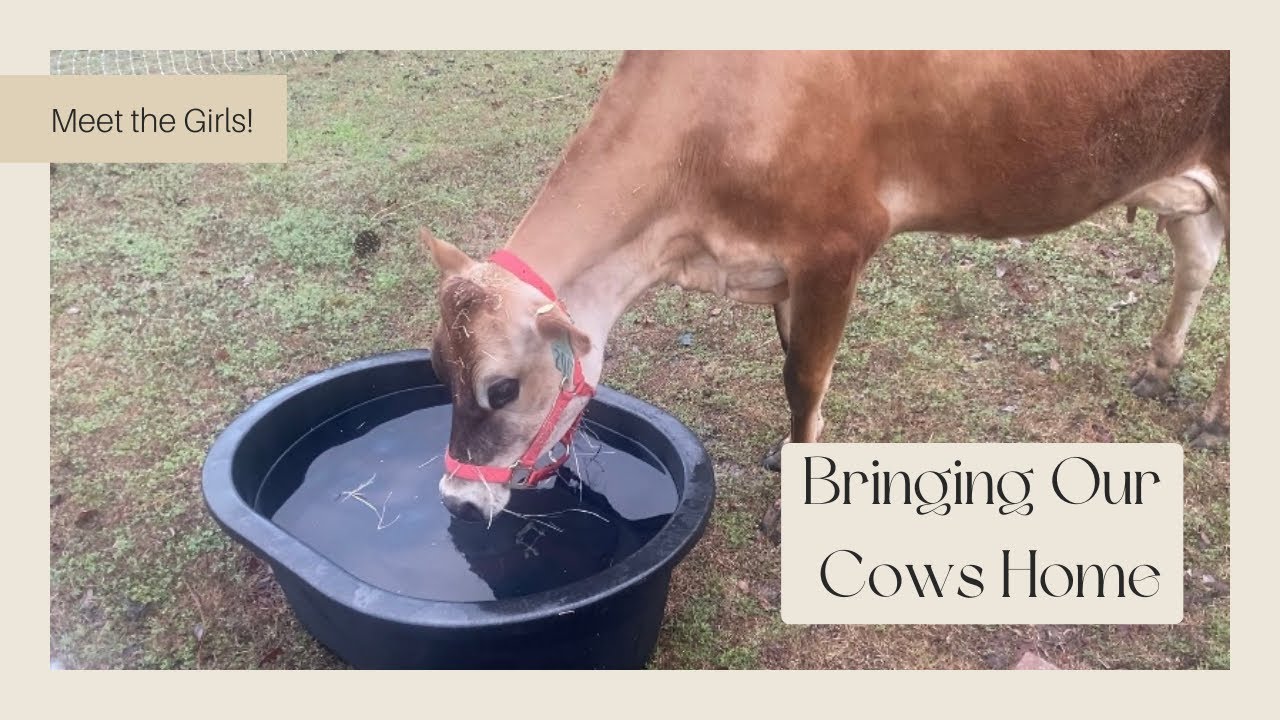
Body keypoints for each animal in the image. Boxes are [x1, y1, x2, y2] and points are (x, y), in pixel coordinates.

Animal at [420, 51, 1229, 535]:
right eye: (436, 368)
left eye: (500, 388)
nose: (455, 499)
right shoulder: (780, 267)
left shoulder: (836, 248)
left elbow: (803, 377)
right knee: (1197, 256)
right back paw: (1159, 368)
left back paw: (1216, 417)